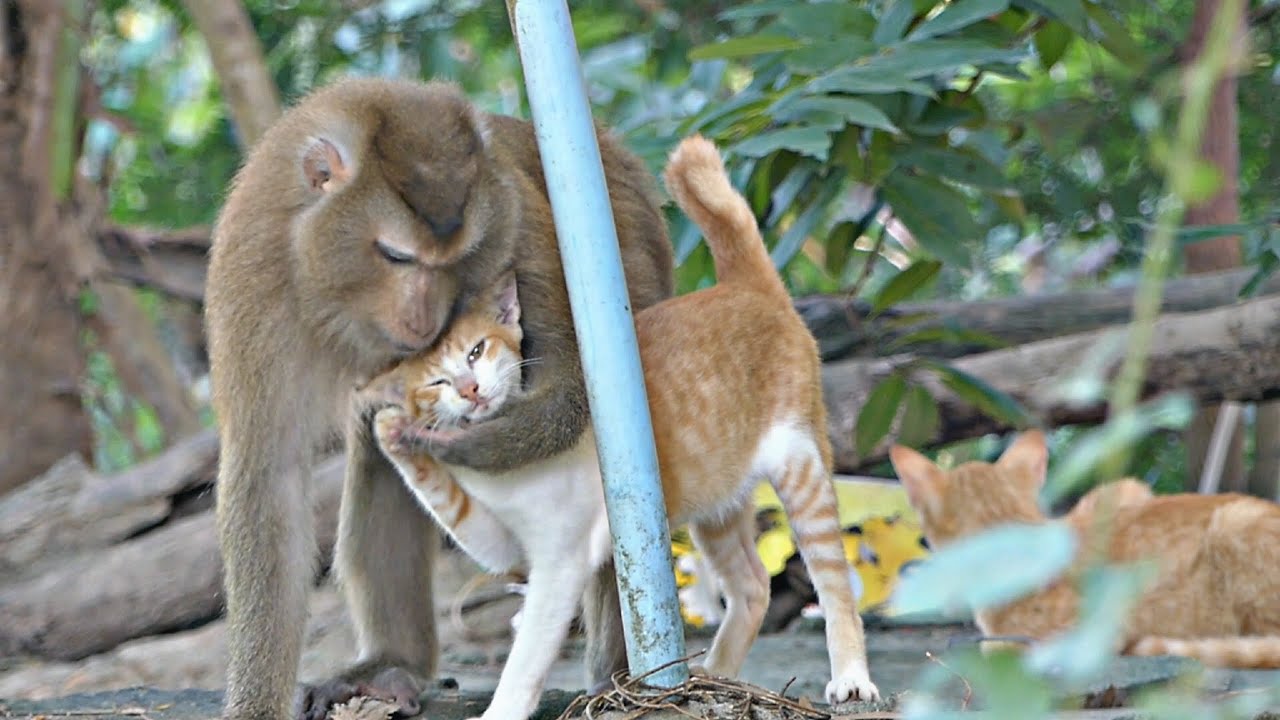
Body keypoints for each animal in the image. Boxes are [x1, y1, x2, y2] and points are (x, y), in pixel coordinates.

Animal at [204, 77, 674, 720]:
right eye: (396, 255)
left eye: (455, 260)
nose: (424, 320)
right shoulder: (256, 274)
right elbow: (268, 476)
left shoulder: (517, 224)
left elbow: (569, 394)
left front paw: (457, 444)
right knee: (375, 451)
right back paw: (391, 665)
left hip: (630, 246)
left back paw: (620, 680)